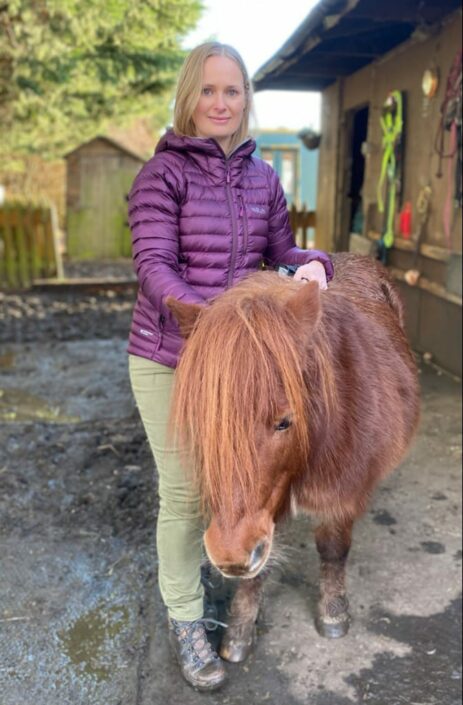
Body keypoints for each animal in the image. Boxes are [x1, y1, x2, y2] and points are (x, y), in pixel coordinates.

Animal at [166, 252, 420, 663]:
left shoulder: (342, 496)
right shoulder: (262, 515)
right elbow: (259, 568)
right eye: (201, 418)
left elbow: (333, 550)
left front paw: (333, 613)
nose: (228, 554)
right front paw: (240, 628)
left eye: (284, 422)